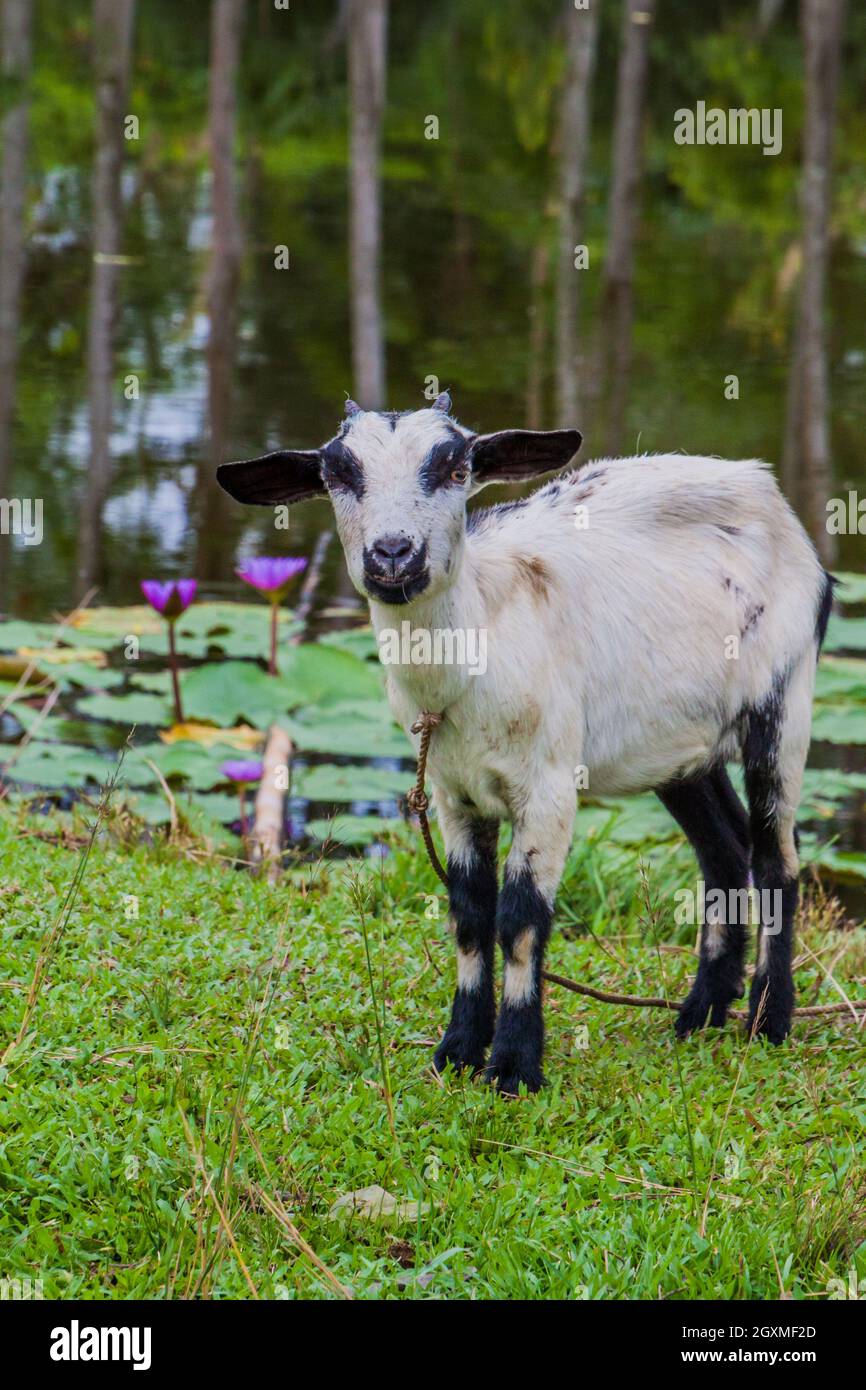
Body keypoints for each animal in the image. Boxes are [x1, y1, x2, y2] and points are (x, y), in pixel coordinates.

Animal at [218, 394, 833, 1094]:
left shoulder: (549, 787)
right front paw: (458, 1050)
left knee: (776, 857)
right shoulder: (452, 794)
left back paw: (768, 1020)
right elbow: (469, 912)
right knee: (725, 850)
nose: (393, 554)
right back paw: (700, 1012)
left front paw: (513, 1066)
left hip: (784, 703)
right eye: (337, 474)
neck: (475, 644)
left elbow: (519, 916)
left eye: (456, 467)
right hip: (680, 744)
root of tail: (761, 485)